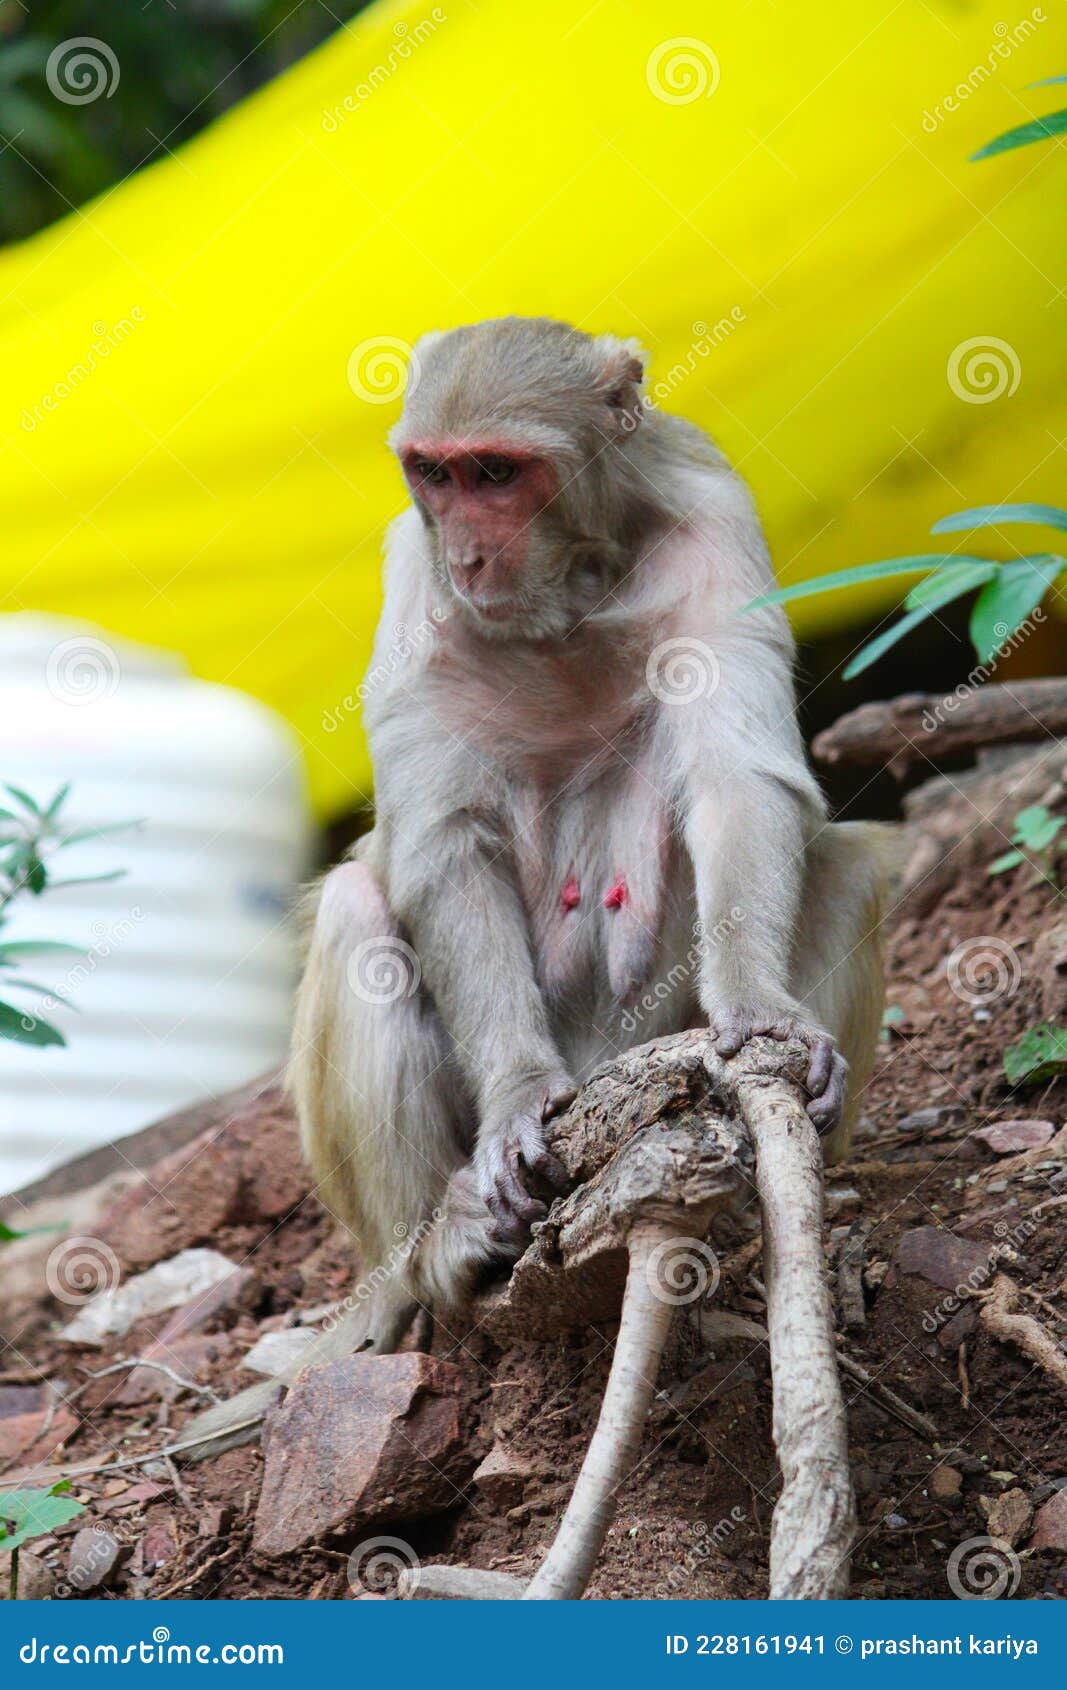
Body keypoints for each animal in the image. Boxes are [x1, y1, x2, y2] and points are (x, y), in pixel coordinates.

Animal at [184, 316, 887, 1456]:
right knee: (357, 915)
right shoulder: (412, 580)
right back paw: (436, 1255)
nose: (469, 552)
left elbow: (741, 776)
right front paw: (518, 1094)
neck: (573, 594)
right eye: (435, 474)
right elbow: (440, 846)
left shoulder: (713, 507)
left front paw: (761, 1012)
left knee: (854, 860)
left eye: (498, 473)